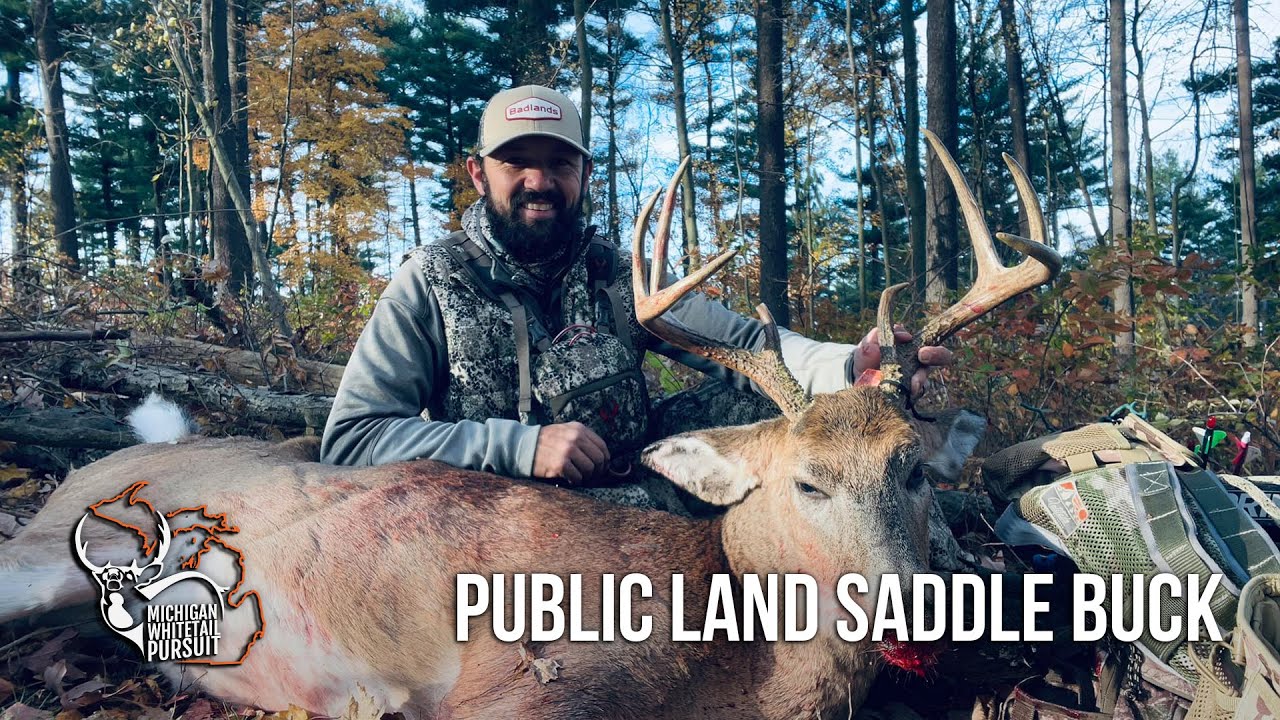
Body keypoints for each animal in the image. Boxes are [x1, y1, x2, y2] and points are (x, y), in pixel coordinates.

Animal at [0, 131, 1060, 719]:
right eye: (807, 481)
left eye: (912, 469)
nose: (912, 609)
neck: (747, 671)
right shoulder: (525, 680)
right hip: (49, 553)